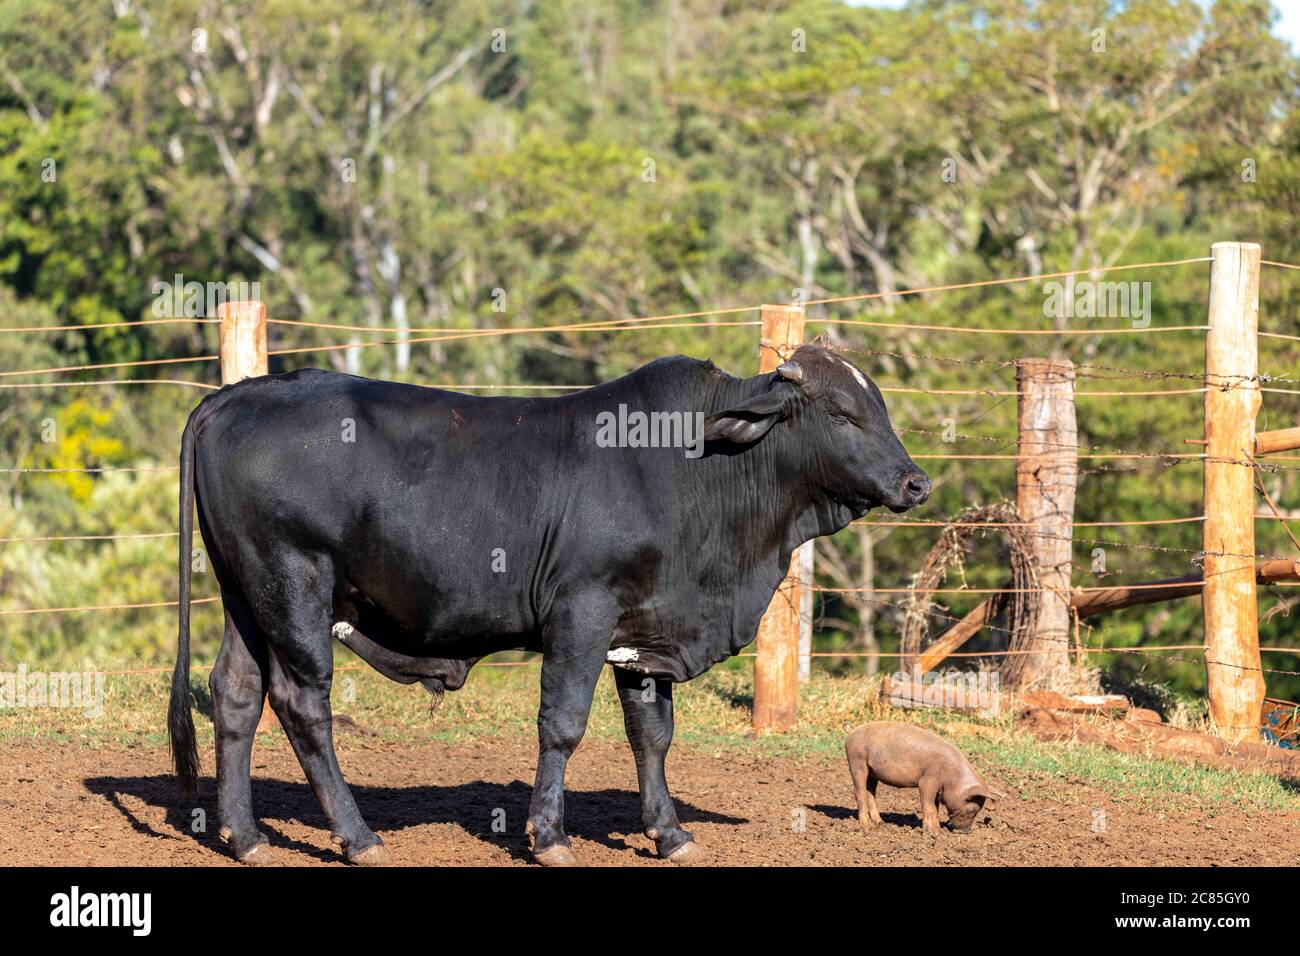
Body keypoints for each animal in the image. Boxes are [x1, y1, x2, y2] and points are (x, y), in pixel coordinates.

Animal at [167, 343, 929, 866]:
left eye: (880, 407)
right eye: (843, 414)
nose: (915, 482)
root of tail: (238, 394)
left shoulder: (643, 632)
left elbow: (652, 736)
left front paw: (670, 832)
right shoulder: (581, 612)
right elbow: (562, 725)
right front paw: (550, 836)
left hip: (246, 595)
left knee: (236, 694)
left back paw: (246, 836)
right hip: (294, 583)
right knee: (303, 703)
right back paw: (358, 838)